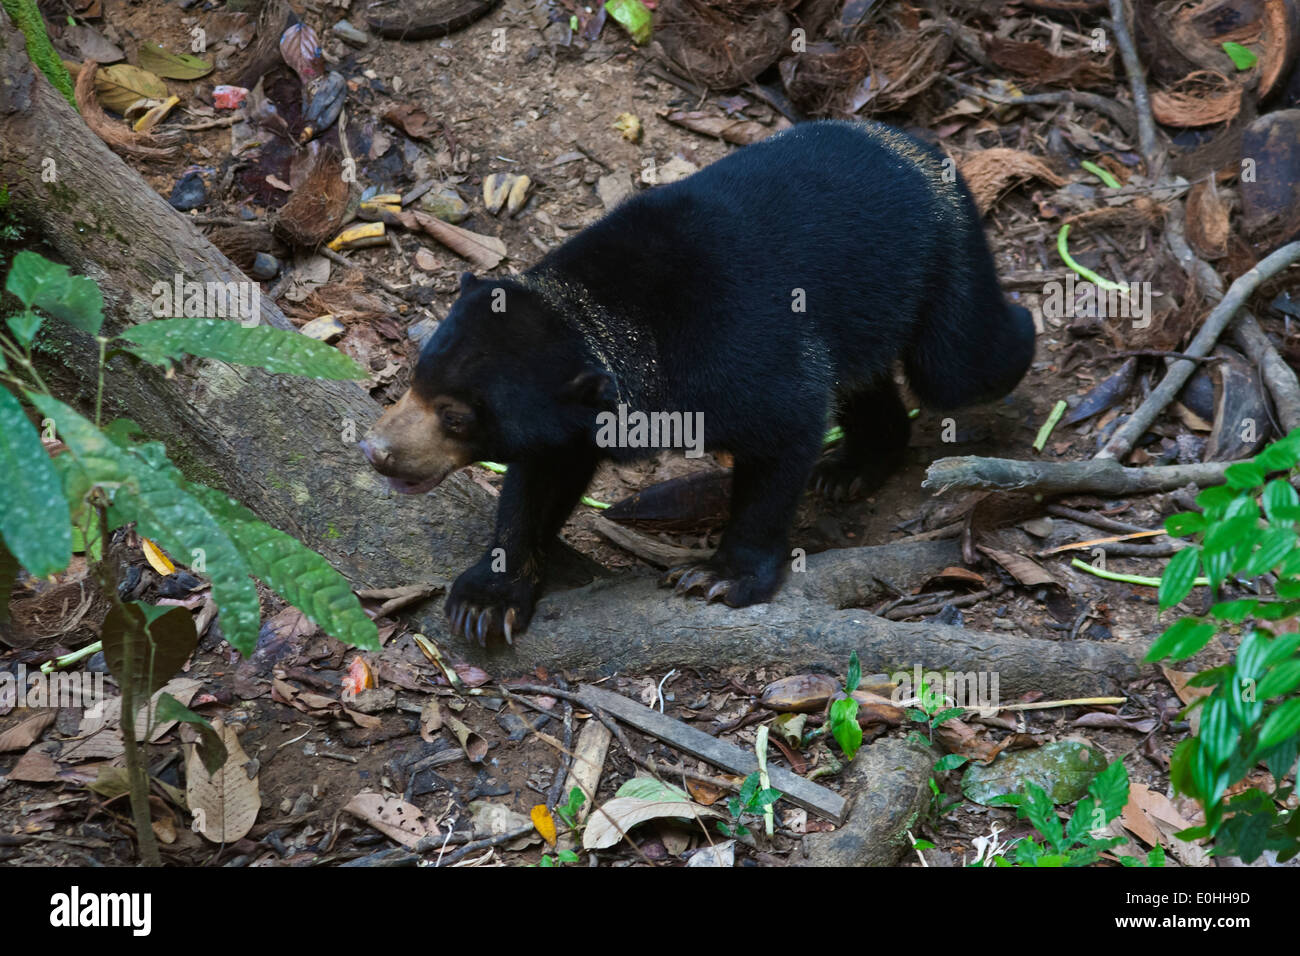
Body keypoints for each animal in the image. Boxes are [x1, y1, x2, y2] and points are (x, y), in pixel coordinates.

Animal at [360, 119, 1036, 645]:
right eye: (417, 379)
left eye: (456, 416)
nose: (376, 450)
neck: (604, 321)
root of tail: (916, 145)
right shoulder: (575, 415)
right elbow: (541, 480)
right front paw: (486, 601)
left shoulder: (740, 354)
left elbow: (786, 429)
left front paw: (719, 577)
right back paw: (852, 469)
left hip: (941, 256)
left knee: (960, 364)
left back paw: (1030, 329)